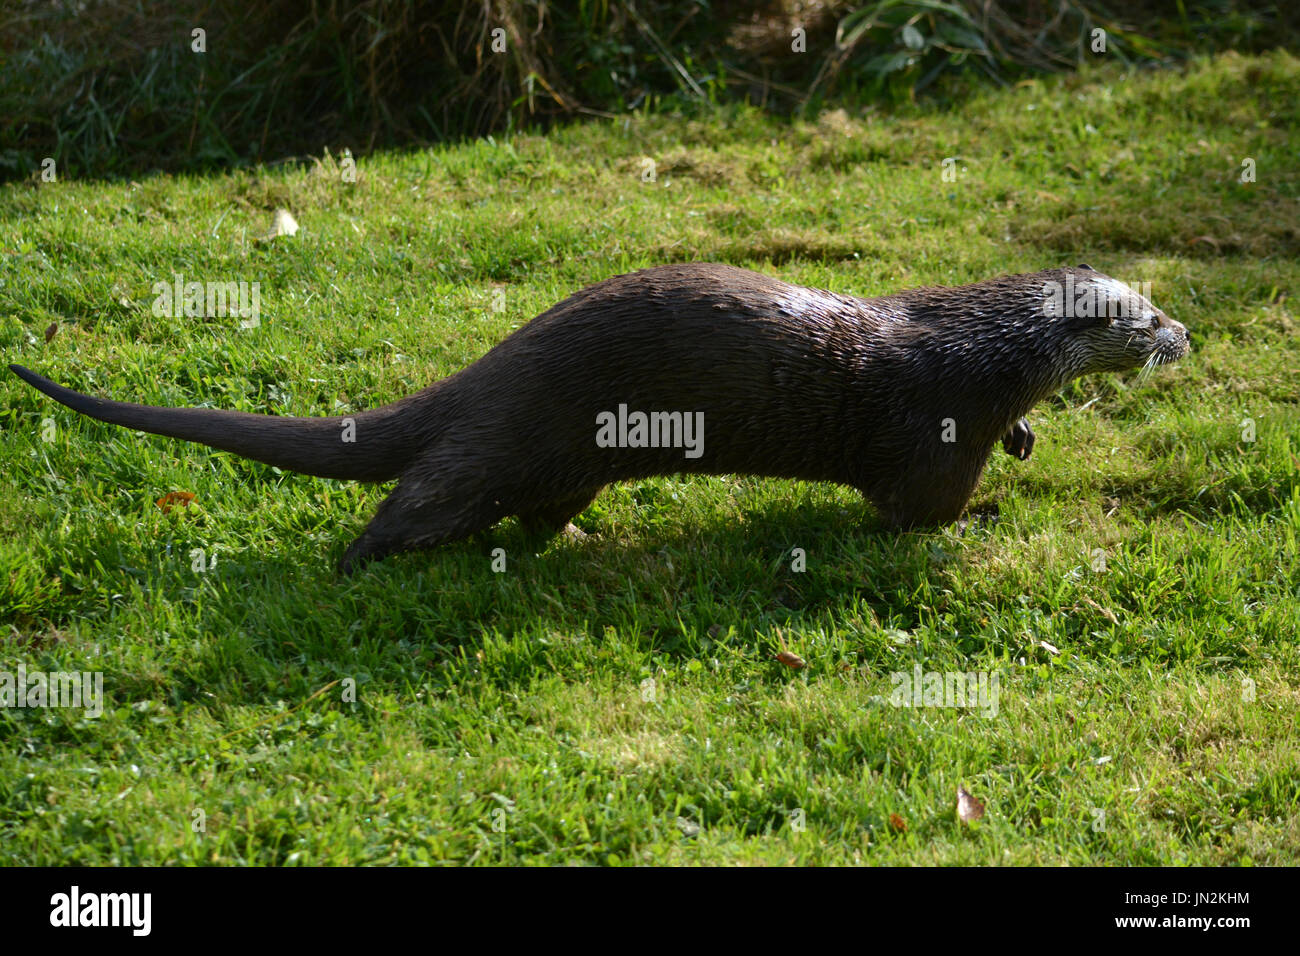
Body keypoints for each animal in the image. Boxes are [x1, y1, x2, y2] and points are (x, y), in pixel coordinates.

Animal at [9, 263, 1188, 573]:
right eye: (1144, 315)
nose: (1185, 331)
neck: (984, 352)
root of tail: (485, 372)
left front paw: (1032, 436)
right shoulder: (931, 432)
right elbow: (924, 508)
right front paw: (985, 514)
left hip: (558, 458)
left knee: (532, 509)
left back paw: (582, 540)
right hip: (507, 440)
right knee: (419, 501)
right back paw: (359, 566)